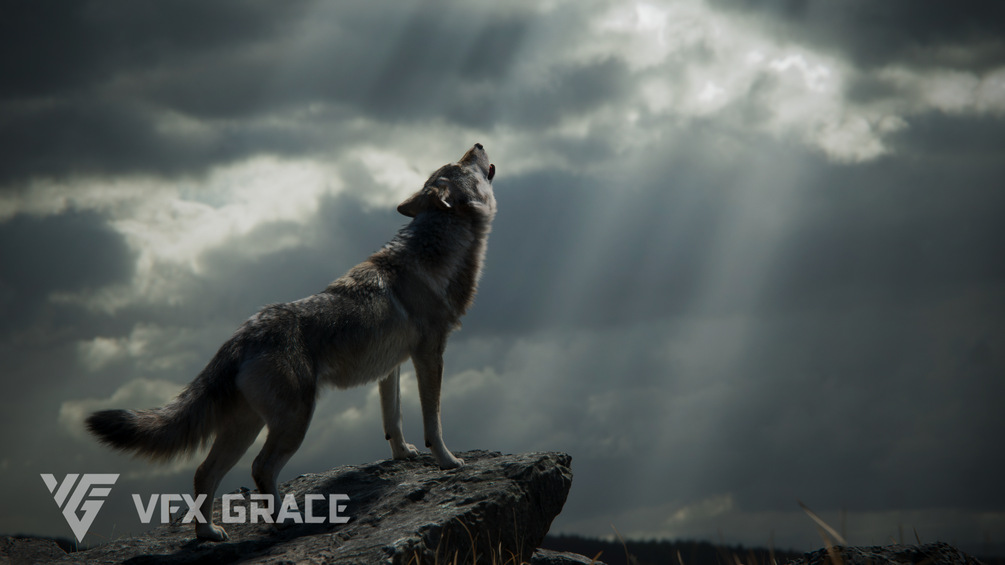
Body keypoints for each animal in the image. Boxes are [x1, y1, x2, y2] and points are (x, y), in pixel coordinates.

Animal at [86, 144, 497, 541]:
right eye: (461, 162)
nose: (478, 142)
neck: (437, 250)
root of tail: (241, 337)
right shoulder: (430, 355)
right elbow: (434, 421)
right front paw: (448, 462)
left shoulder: (390, 366)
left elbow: (392, 419)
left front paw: (403, 455)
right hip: (293, 422)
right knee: (260, 468)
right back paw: (283, 521)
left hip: (246, 428)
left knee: (204, 472)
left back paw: (209, 534)